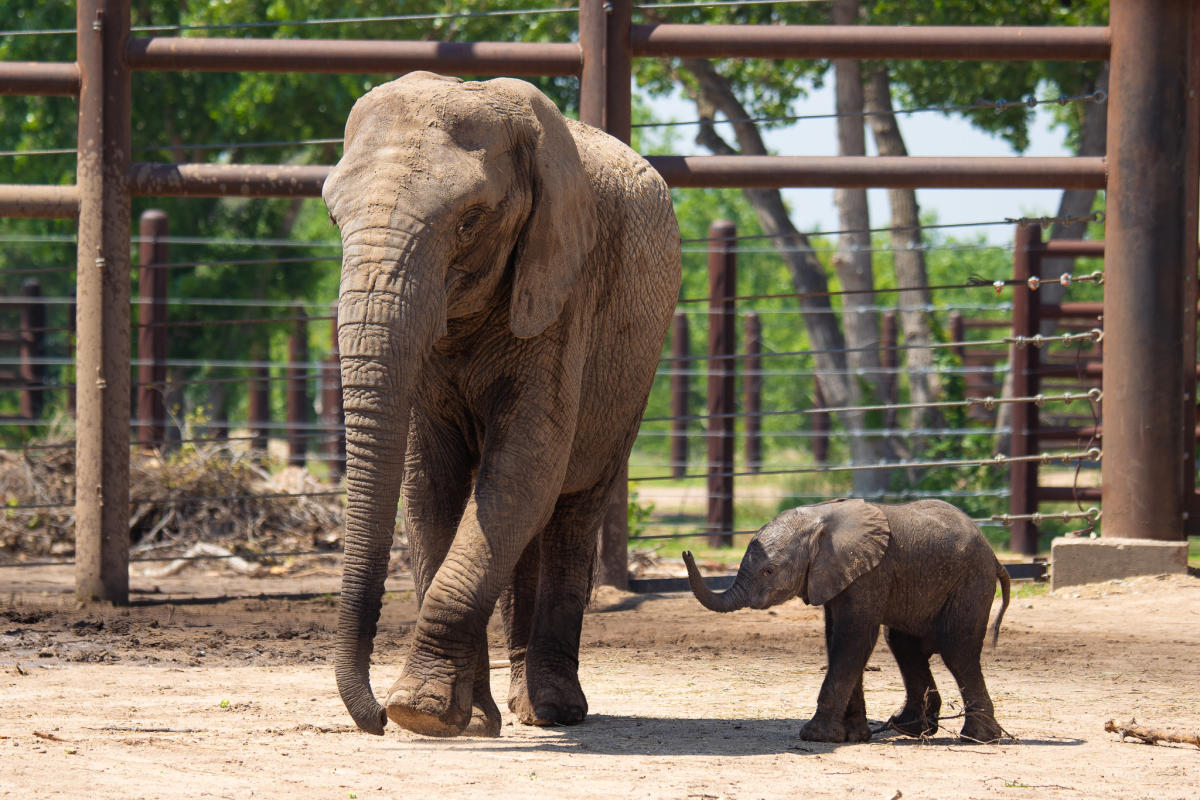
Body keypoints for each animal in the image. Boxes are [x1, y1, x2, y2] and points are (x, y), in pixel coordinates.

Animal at [322, 72, 681, 738]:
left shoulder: (566, 289)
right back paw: (512, 711)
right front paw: (461, 721)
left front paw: (419, 713)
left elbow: (523, 469)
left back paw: (553, 712)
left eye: (470, 221)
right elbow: (430, 482)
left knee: (571, 506)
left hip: (635, 367)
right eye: (334, 217)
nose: (374, 718)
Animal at [682, 498, 1010, 744]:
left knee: (957, 650)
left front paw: (816, 736)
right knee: (904, 645)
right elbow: (837, 640)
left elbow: (852, 638)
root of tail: (995, 557)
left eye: (769, 571)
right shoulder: (836, 576)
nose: (686, 551)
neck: (818, 519)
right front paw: (854, 736)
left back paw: (977, 739)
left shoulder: (871, 573)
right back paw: (908, 729)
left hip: (971, 583)